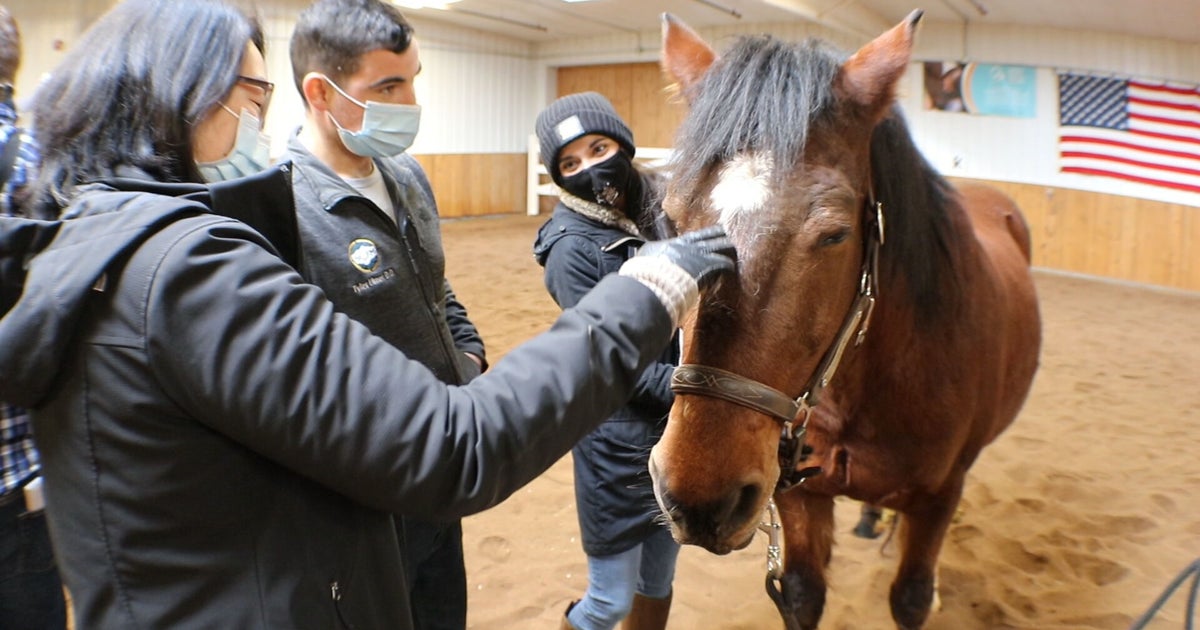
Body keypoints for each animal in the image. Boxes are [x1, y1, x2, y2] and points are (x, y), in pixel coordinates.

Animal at [647, 11, 1042, 630]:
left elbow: (911, 596)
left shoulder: (937, 500)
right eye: (669, 218)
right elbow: (803, 593)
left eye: (834, 234)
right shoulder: (798, 495)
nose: (699, 499)